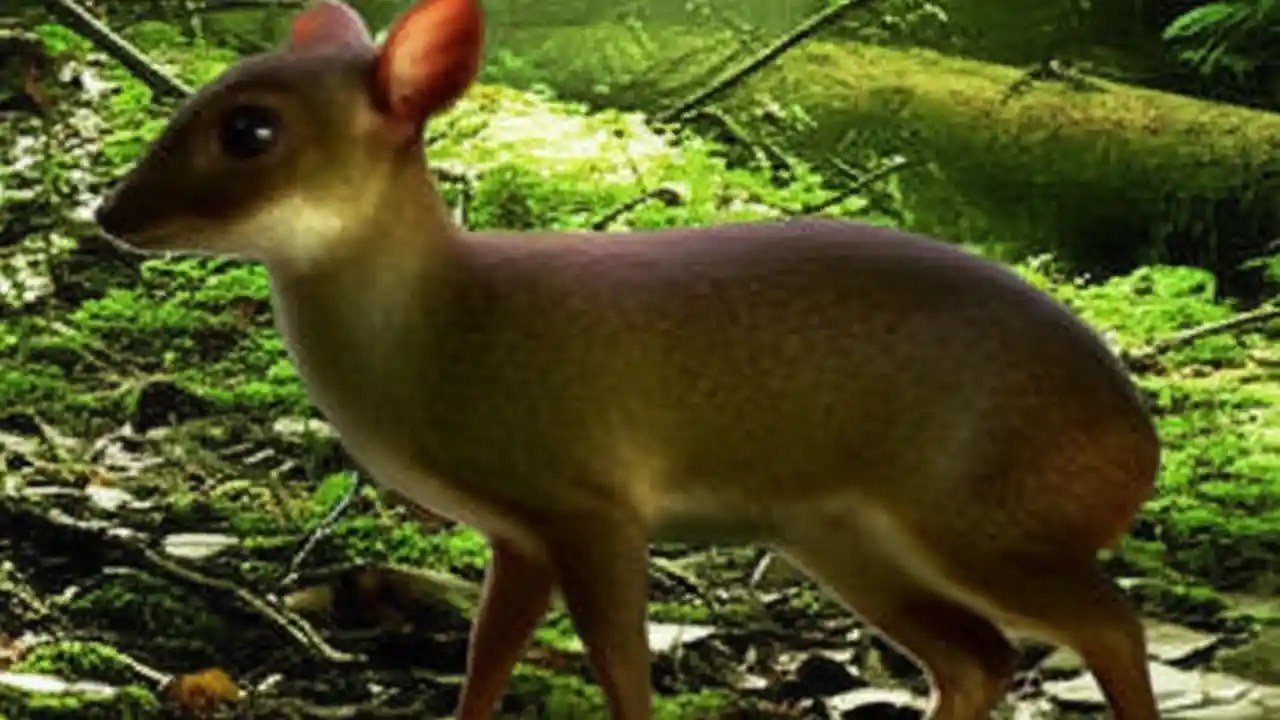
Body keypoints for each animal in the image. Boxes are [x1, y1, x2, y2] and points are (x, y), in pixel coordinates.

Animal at [93, 1, 1162, 718]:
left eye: (250, 129)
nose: (112, 212)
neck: (443, 331)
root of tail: (1136, 445)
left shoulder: (594, 496)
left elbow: (622, 669)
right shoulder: (520, 528)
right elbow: (486, 657)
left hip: (981, 506)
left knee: (1110, 623)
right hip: (842, 532)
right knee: (978, 655)